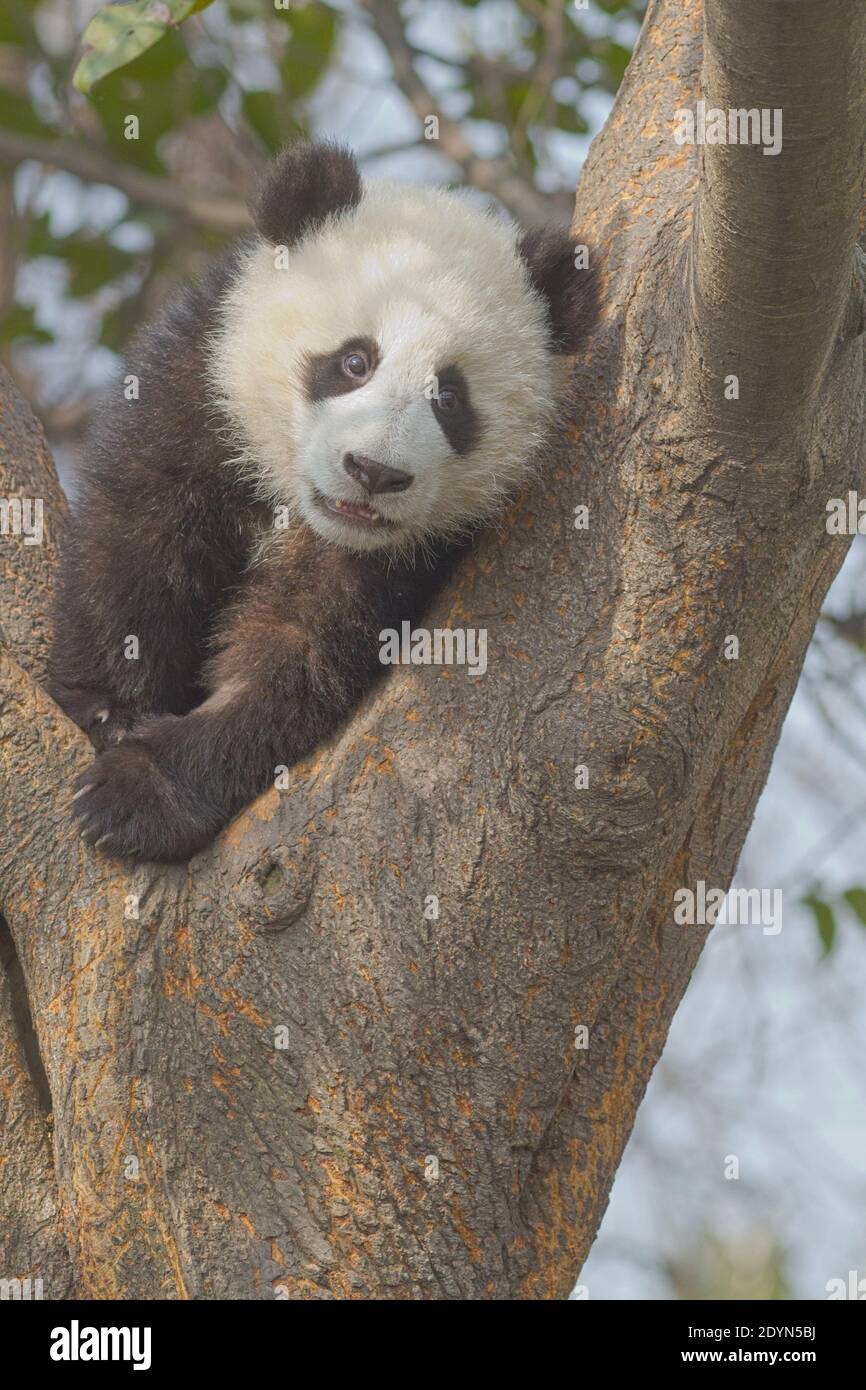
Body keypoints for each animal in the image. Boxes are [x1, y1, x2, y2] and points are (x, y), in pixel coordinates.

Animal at [48, 142, 594, 863]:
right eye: (355, 361)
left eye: (450, 398)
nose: (374, 471)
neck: (300, 512)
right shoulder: (201, 393)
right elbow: (134, 548)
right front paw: (109, 709)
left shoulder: (398, 559)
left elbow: (298, 661)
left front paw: (137, 792)